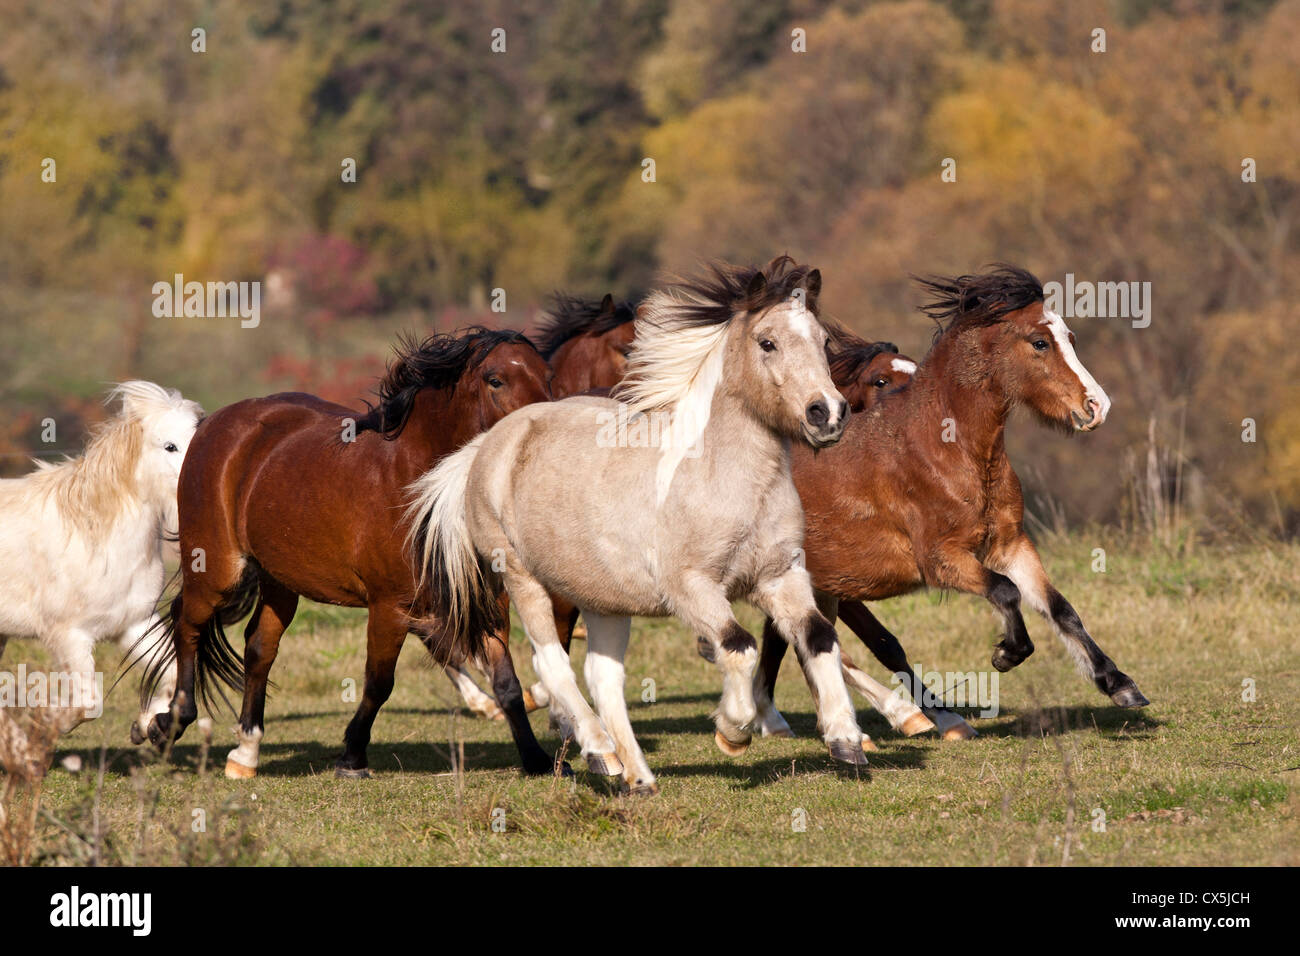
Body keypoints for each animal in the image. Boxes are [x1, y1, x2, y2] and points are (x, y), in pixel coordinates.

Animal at [0, 381, 203, 737]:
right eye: (170, 446)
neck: (95, 537)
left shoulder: (134, 624)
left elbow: (170, 673)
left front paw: (147, 724)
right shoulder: (69, 636)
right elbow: (88, 704)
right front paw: (37, 725)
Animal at [140, 328, 558, 780]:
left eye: (548, 375)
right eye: (495, 380)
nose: (544, 434)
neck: (417, 490)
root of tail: (212, 425)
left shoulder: (489, 600)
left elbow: (508, 684)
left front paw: (538, 759)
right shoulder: (390, 605)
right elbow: (379, 683)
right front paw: (352, 757)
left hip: (279, 581)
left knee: (259, 649)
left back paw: (245, 754)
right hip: (216, 569)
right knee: (188, 627)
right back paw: (165, 725)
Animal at [408, 257, 869, 795]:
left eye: (824, 341)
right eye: (767, 342)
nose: (827, 413)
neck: (722, 476)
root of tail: (485, 447)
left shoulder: (781, 575)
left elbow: (818, 637)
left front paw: (846, 741)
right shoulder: (692, 588)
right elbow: (739, 647)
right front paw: (733, 731)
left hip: (602, 598)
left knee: (602, 677)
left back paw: (638, 776)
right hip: (523, 580)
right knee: (553, 664)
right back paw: (600, 754)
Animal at [752, 265, 1149, 743]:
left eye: (1070, 337)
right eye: (1040, 342)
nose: (1097, 405)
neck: (949, 448)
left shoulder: (1010, 546)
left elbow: (1060, 608)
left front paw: (1120, 685)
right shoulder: (942, 560)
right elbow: (1006, 591)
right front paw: (1006, 654)